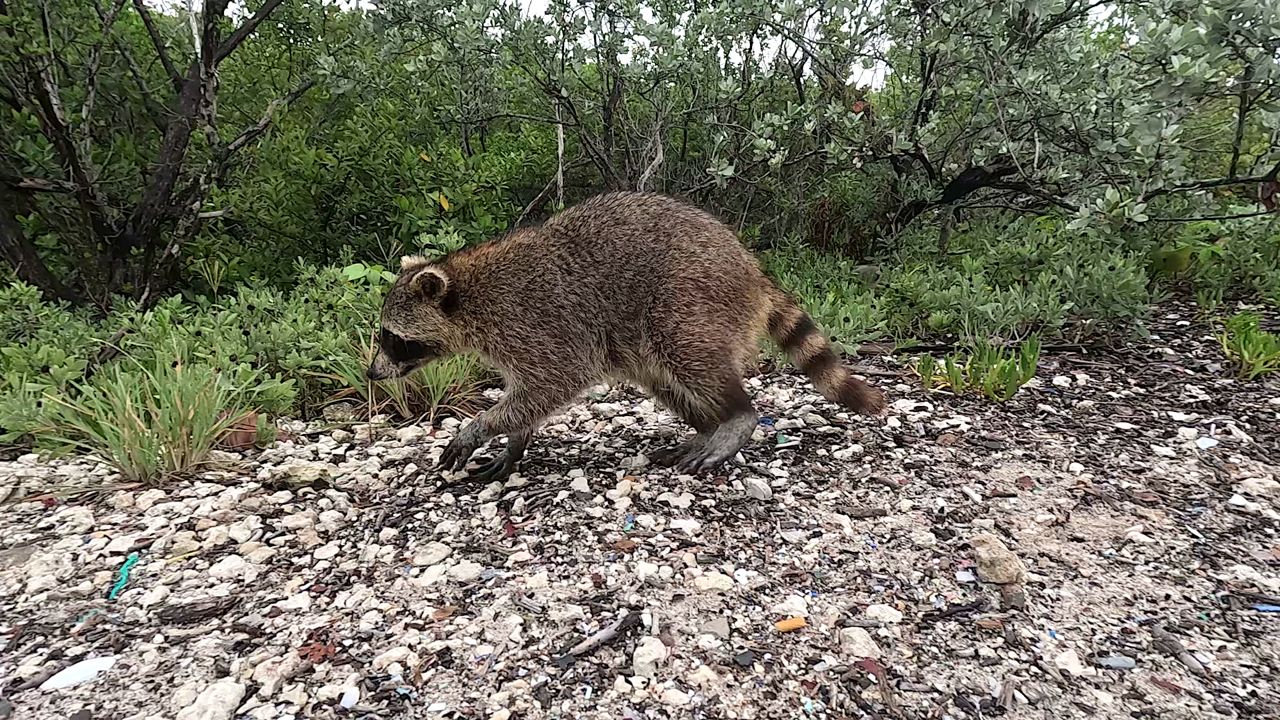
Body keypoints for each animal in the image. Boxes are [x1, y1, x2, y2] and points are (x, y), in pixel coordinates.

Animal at [367, 192, 885, 479]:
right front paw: (514, 440)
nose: (372, 374)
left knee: (689, 354)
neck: (468, 290)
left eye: (391, 338)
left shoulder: (536, 322)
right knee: (666, 380)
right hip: (650, 338)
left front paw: (480, 427)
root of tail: (752, 269)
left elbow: (551, 383)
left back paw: (736, 417)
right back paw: (706, 426)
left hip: (692, 297)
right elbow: (529, 395)